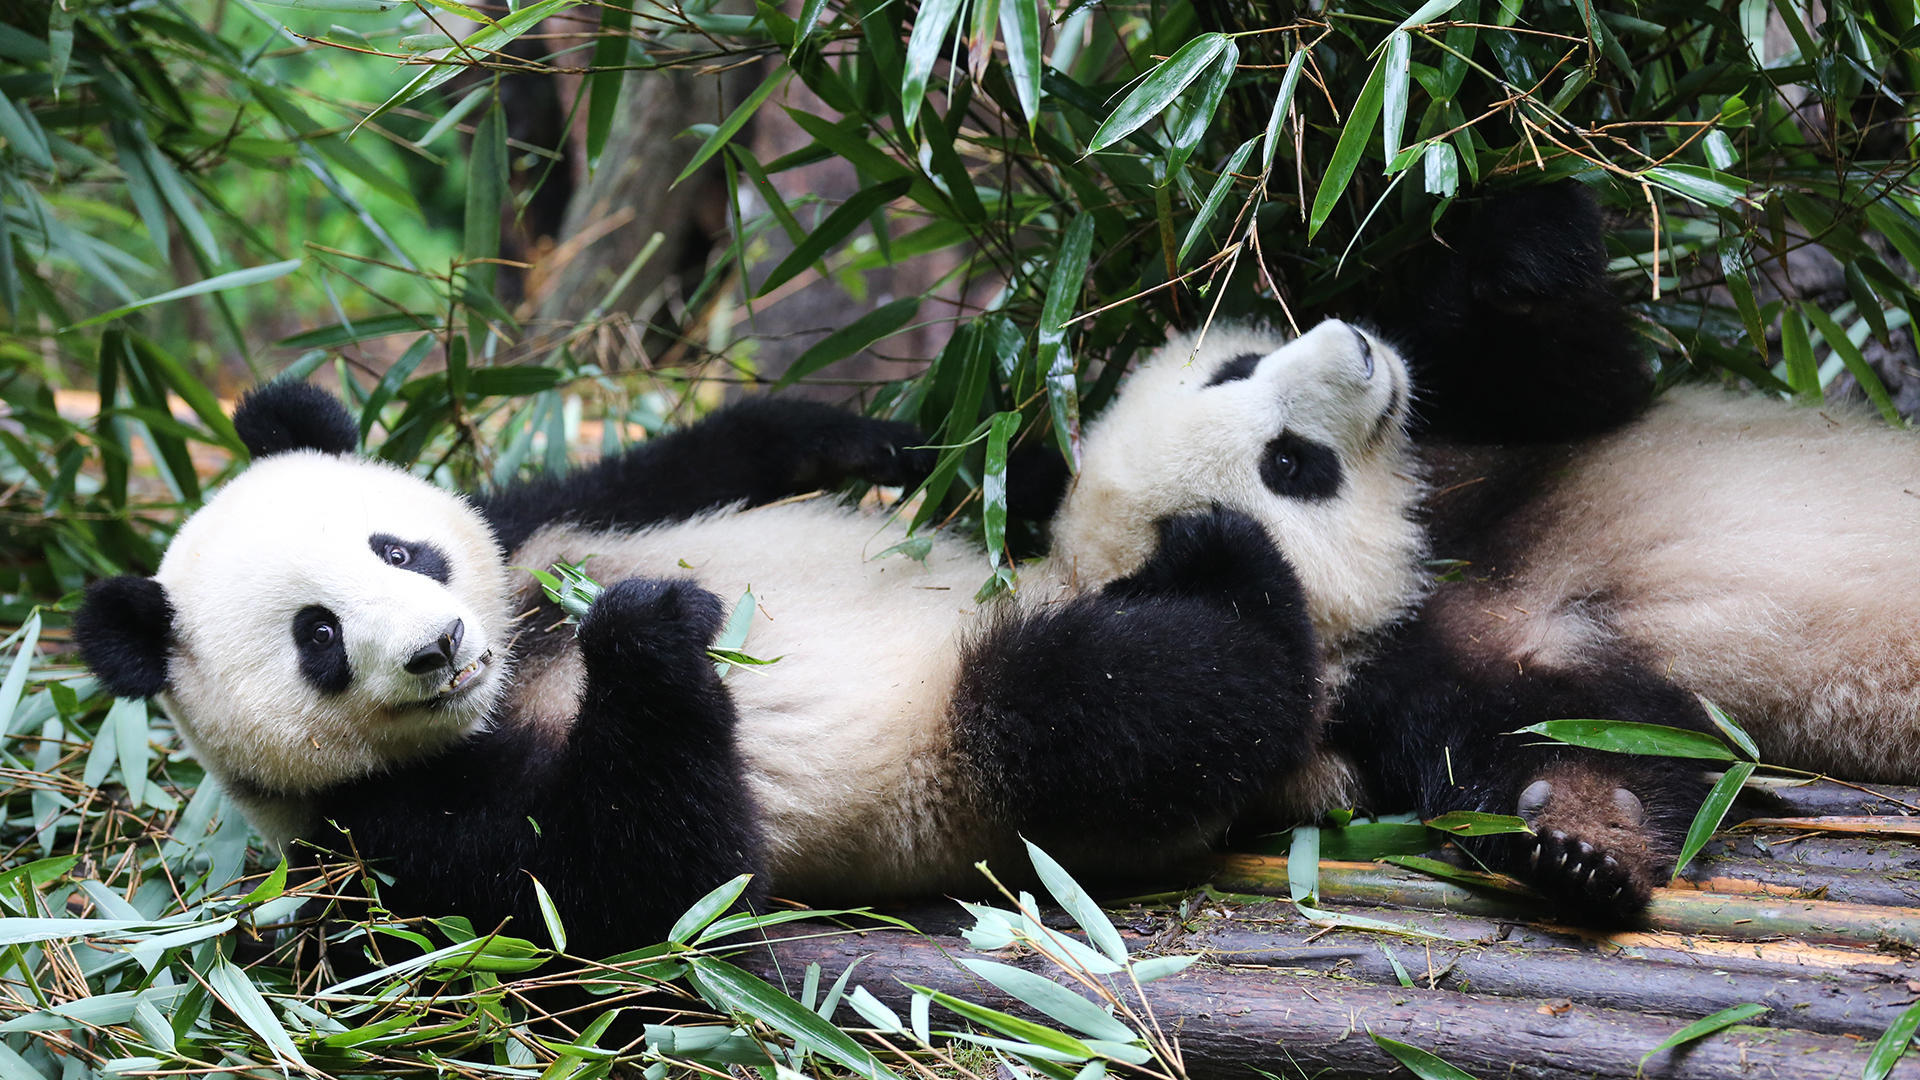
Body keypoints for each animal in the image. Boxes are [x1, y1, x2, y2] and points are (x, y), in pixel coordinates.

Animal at [71, 372, 1355, 959]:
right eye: (320, 637)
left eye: (401, 549)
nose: (440, 649)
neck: (518, 675)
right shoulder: (383, 832)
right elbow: (650, 882)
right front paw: (652, 634)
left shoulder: (544, 523)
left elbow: (721, 455)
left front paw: (896, 442)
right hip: (971, 756)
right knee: (1105, 701)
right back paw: (1239, 586)